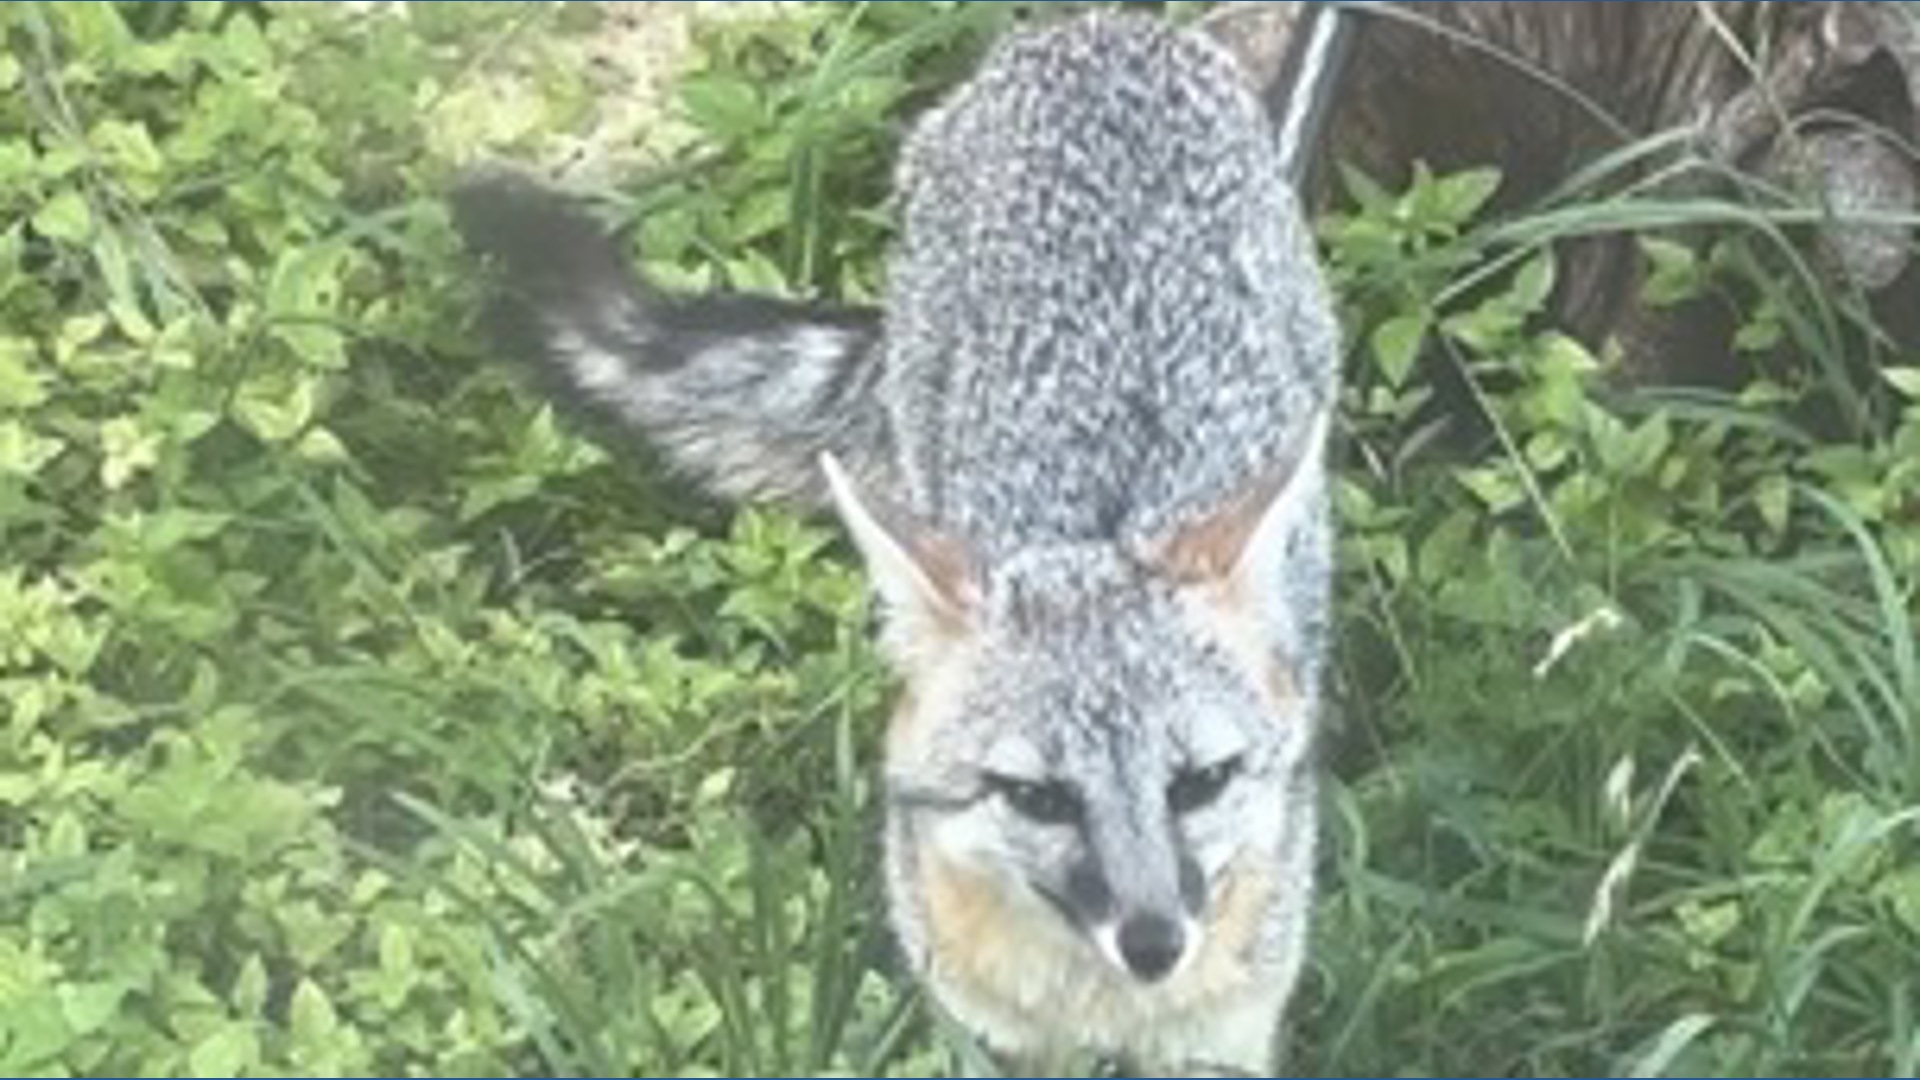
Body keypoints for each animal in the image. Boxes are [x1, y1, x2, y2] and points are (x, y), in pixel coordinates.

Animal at [452, 6, 1346, 1075]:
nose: (1155, 941)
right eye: (1038, 797)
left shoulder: (1221, 1039)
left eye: (1200, 783)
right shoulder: (979, 1030)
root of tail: (1095, 31)